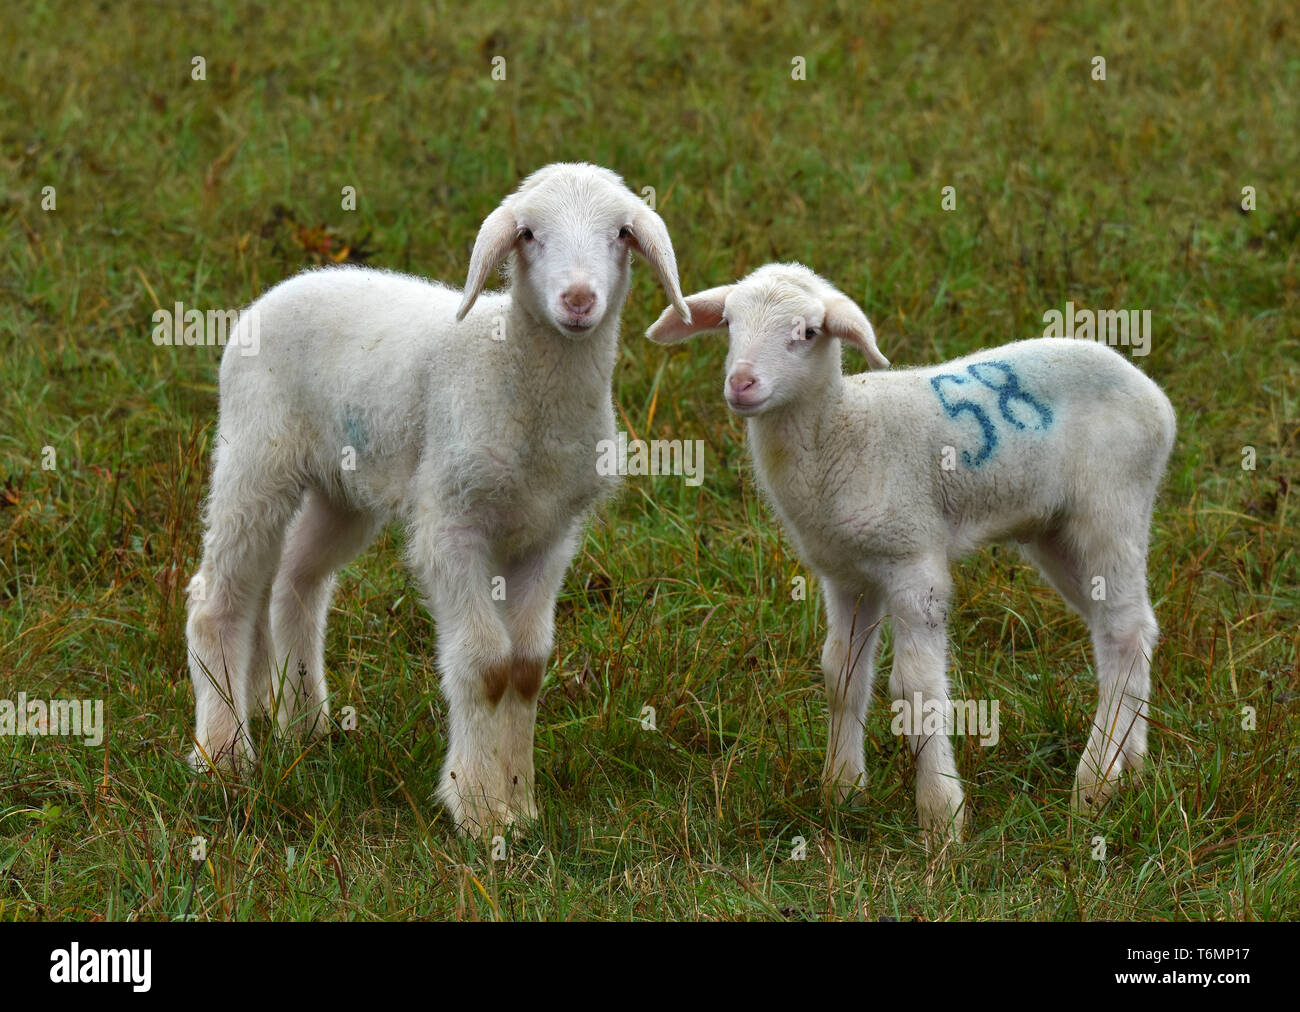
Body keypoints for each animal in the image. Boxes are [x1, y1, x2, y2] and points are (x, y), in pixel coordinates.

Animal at [185, 162, 691, 835]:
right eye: (528, 233)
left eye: (622, 233)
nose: (579, 300)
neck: (510, 370)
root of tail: (279, 290)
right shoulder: (451, 525)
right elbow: (486, 664)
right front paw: (477, 808)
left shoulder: (550, 536)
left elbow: (526, 666)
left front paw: (520, 803)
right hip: (255, 454)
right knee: (217, 601)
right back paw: (225, 756)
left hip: (345, 489)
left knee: (294, 579)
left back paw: (306, 724)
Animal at [647, 263, 1175, 840]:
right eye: (728, 323)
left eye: (807, 332)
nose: (741, 383)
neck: (843, 429)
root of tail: (1154, 395)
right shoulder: (847, 575)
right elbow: (841, 675)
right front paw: (842, 791)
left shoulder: (913, 561)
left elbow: (916, 691)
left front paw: (941, 818)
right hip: (1054, 532)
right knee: (1129, 627)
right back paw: (1132, 766)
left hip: (1112, 504)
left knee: (1123, 633)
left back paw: (1094, 784)